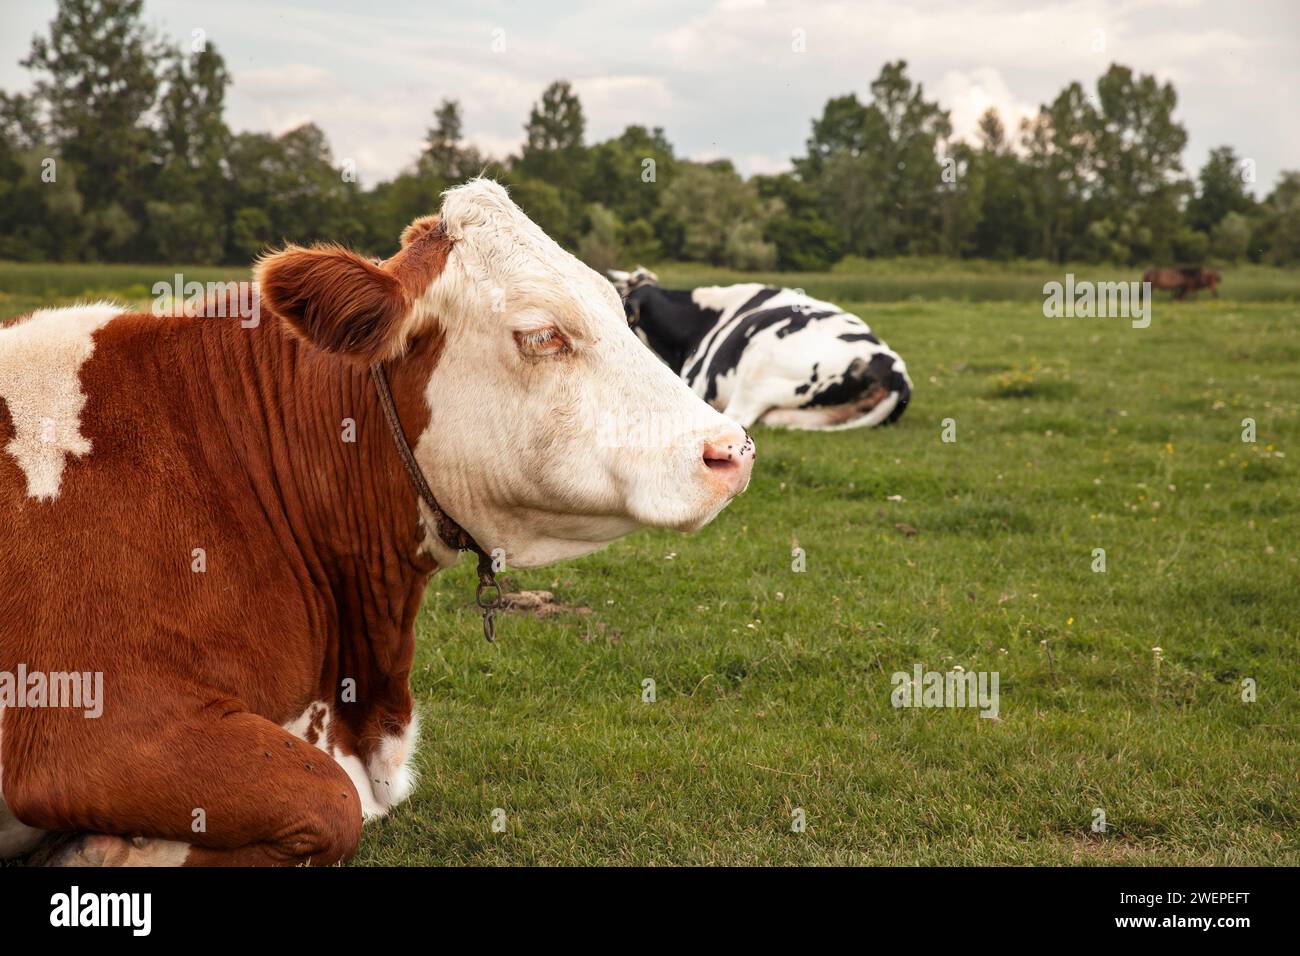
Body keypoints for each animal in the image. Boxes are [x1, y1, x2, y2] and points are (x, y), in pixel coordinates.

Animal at [0, 180, 754, 867]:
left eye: (620, 311)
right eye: (542, 333)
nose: (731, 450)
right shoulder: (85, 724)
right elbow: (328, 804)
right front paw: (104, 848)